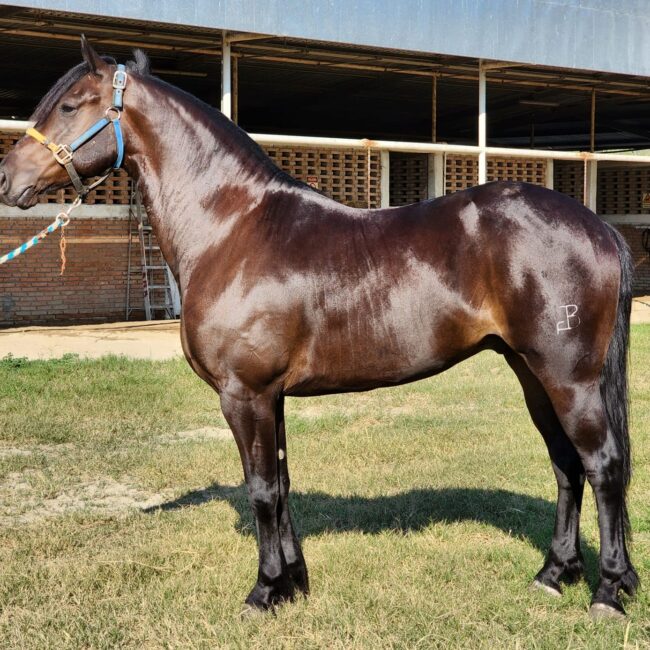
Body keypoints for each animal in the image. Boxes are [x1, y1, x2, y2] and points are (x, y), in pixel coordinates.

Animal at [0, 37, 638, 619]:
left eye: (69, 105)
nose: (6, 179)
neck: (231, 226)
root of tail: (598, 228)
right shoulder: (271, 397)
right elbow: (280, 486)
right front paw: (293, 584)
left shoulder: (245, 394)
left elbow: (260, 490)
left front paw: (263, 592)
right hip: (531, 373)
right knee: (566, 464)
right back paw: (554, 574)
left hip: (569, 380)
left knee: (602, 466)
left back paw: (606, 592)